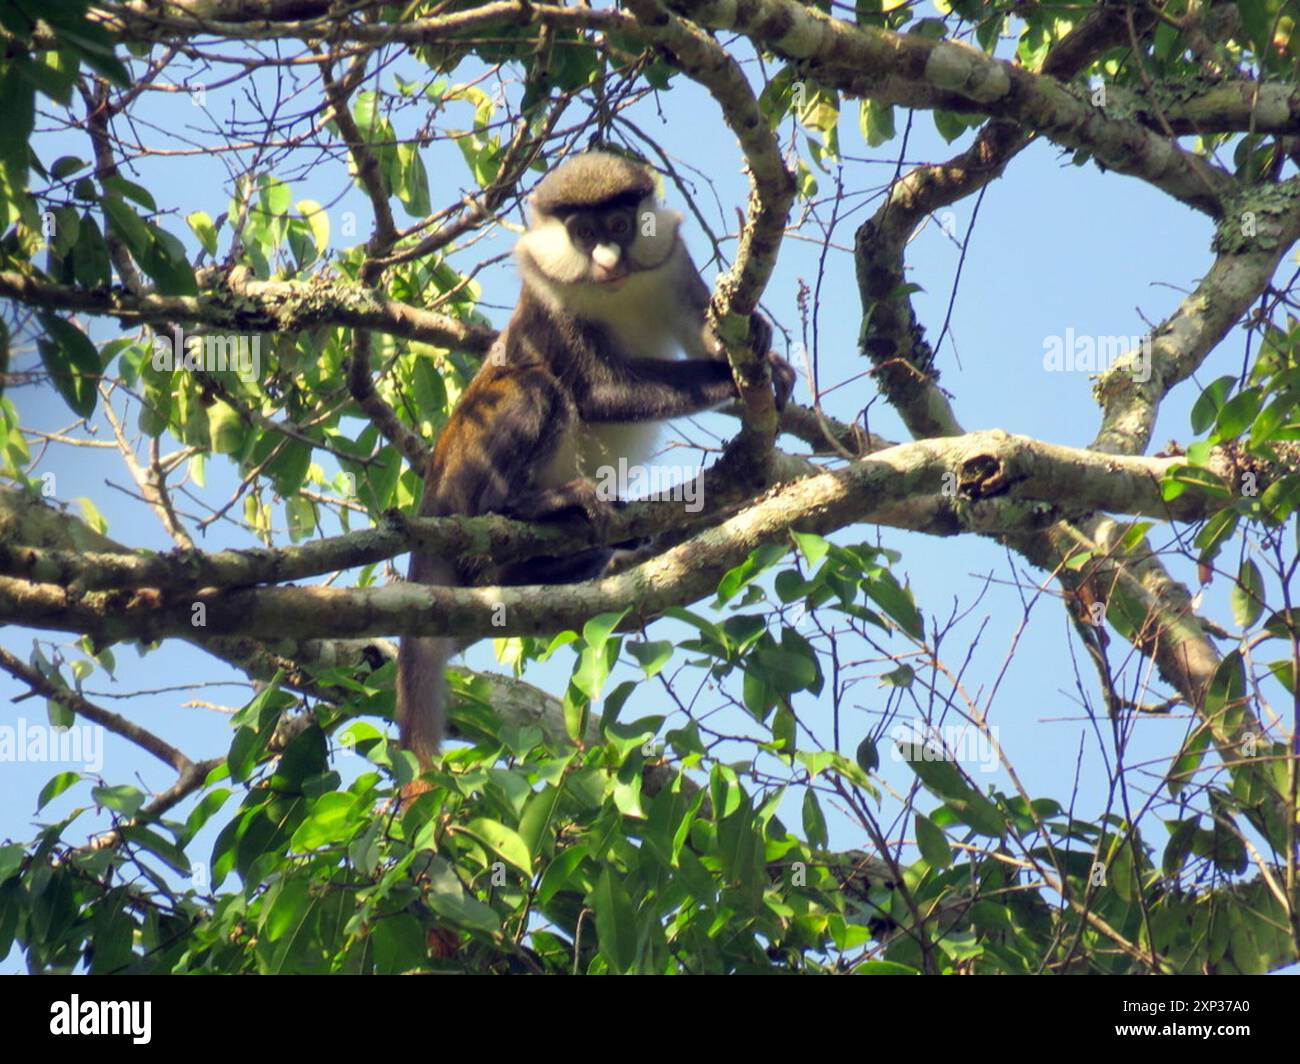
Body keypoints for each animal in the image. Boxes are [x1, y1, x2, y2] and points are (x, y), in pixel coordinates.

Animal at [396, 150, 794, 780]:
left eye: (617, 225)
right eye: (583, 233)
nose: (607, 262)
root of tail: (431, 501)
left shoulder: (673, 264)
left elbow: (704, 334)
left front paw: (756, 340)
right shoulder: (551, 302)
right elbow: (597, 390)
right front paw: (730, 378)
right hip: (467, 472)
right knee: (537, 388)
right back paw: (528, 506)